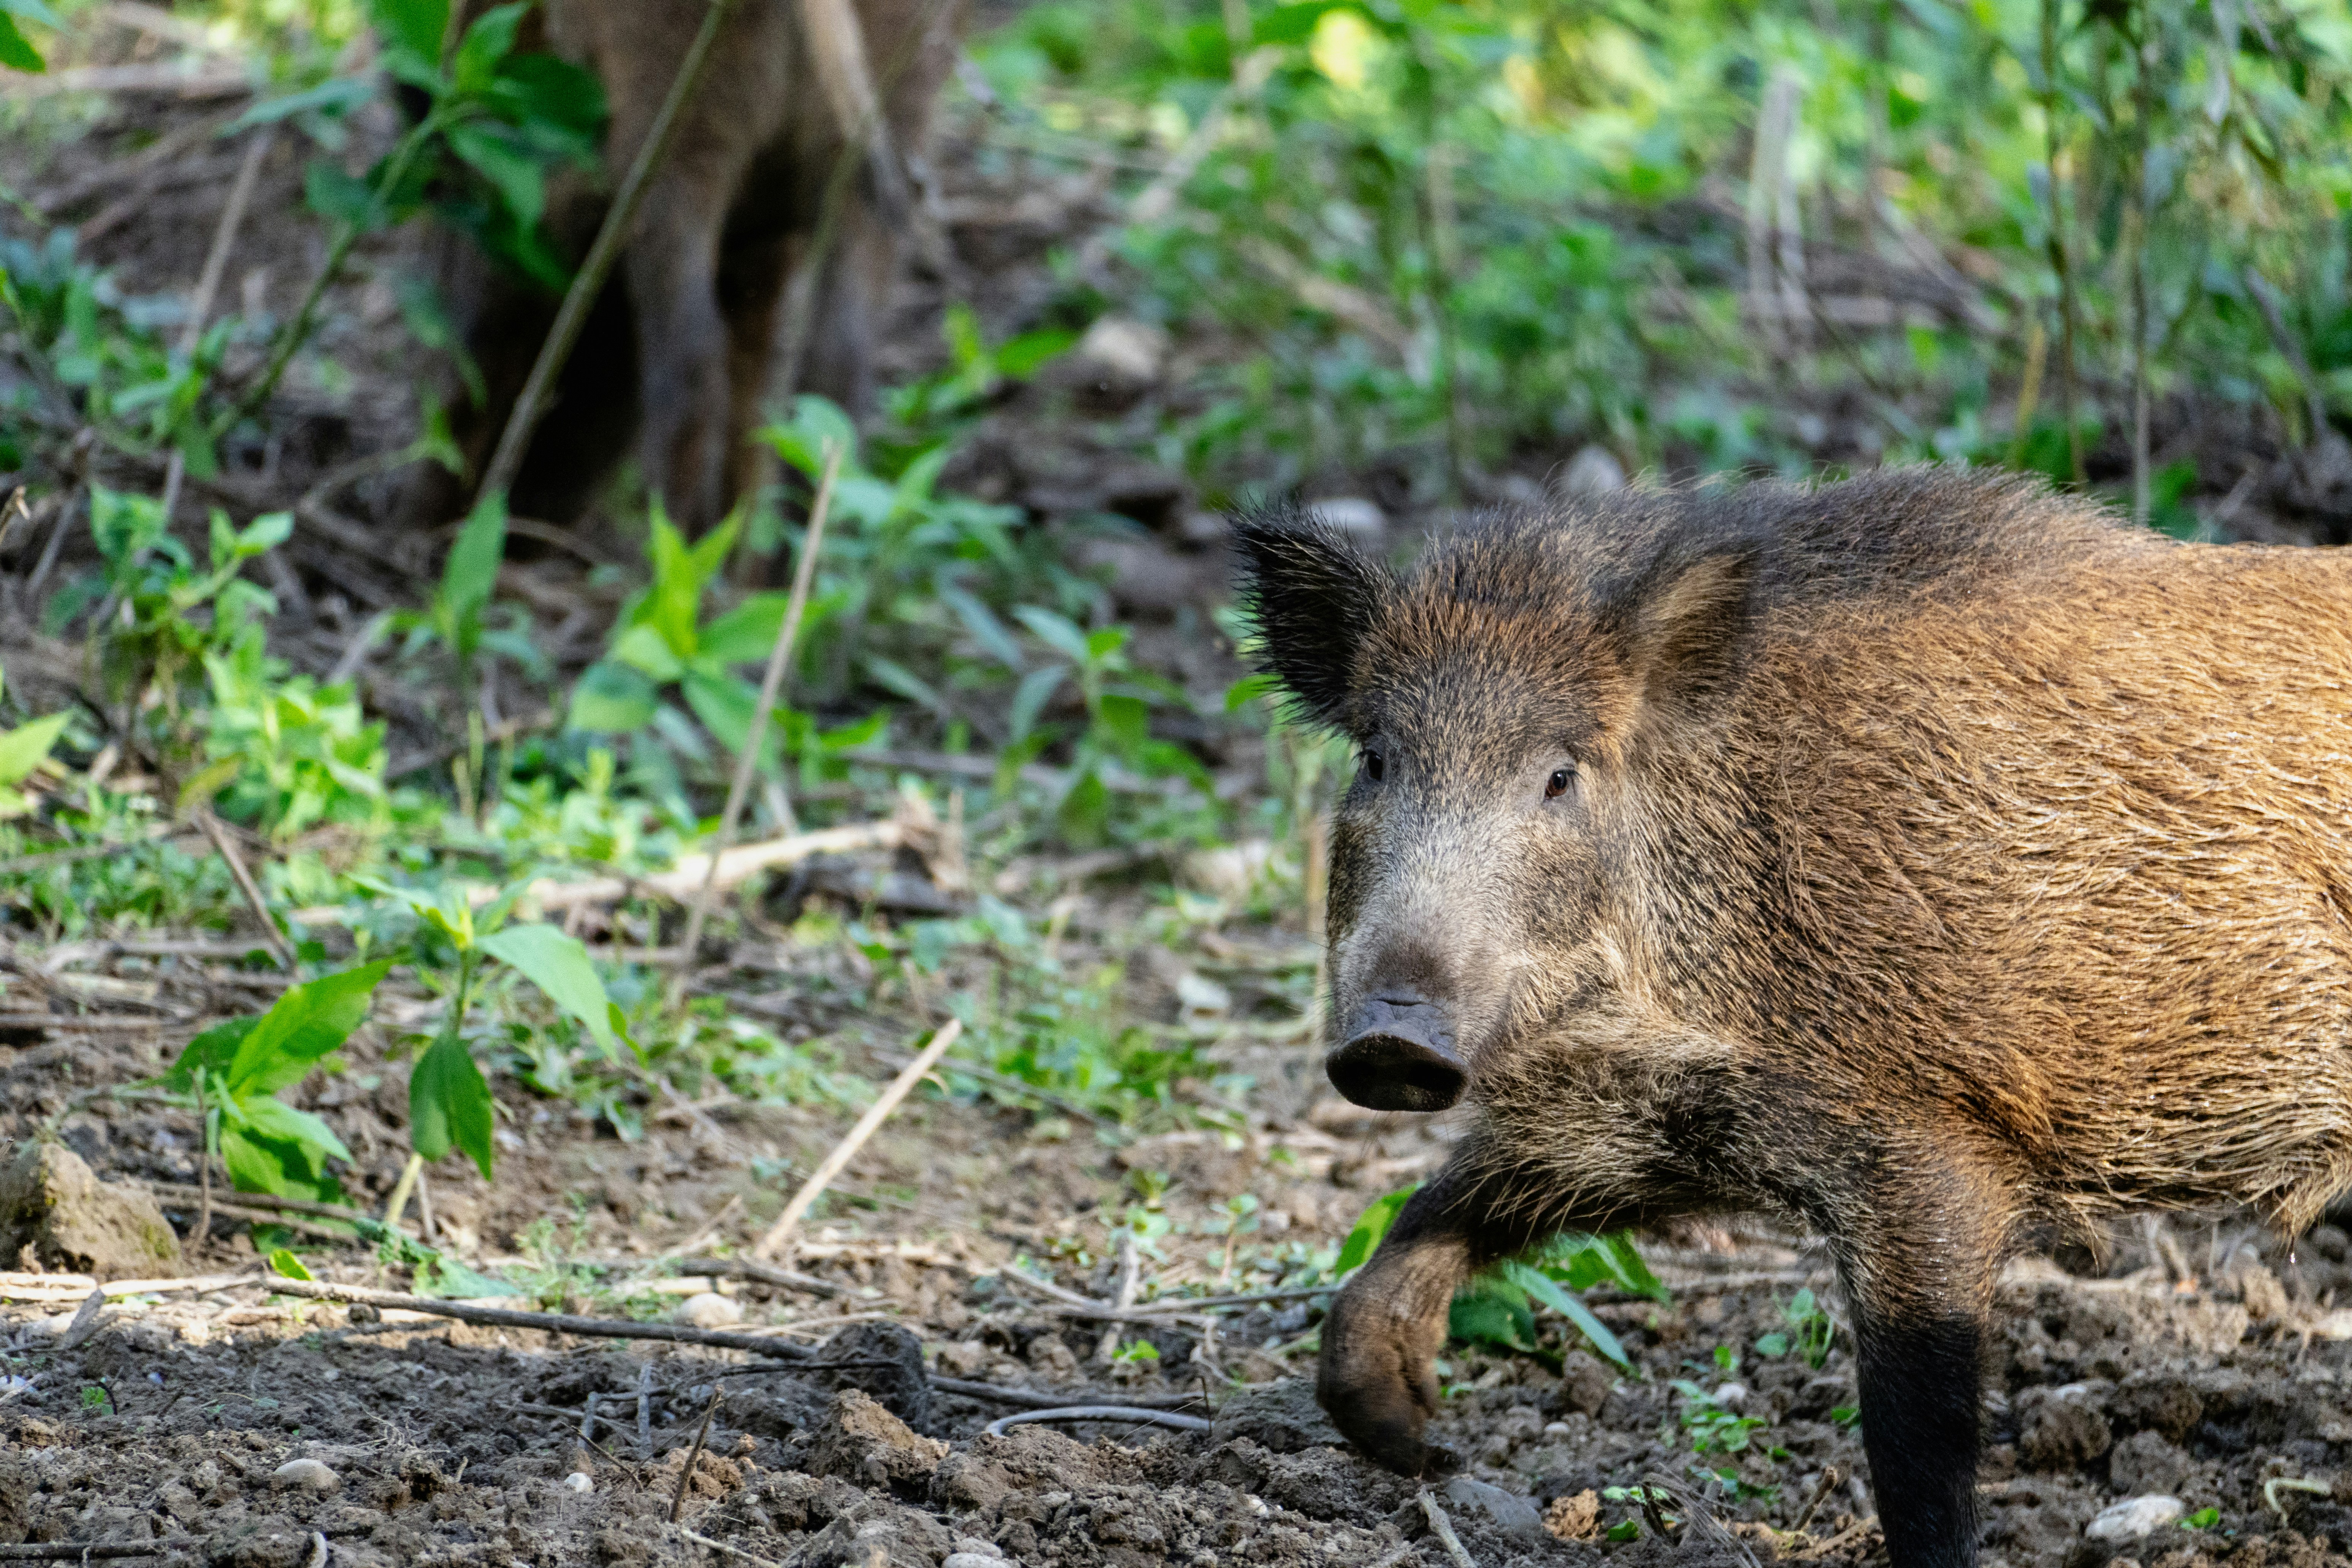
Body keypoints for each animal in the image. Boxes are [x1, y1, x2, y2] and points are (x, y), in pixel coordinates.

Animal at [406, 0, 959, 535]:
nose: (532, 514)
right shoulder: (764, 247)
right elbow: (755, 401)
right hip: (877, 143)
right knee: (834, 373)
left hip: (676, 142)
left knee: (691, 368)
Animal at [1233, 467, 2352, 1568]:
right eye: (1376, 759)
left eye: (1558, 776)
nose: (1390, 1037)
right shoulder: (1659, 1120)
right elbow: (1448, 1202)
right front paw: (1416, 1439)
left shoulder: (1936, 1150)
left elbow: (1915, 1438)